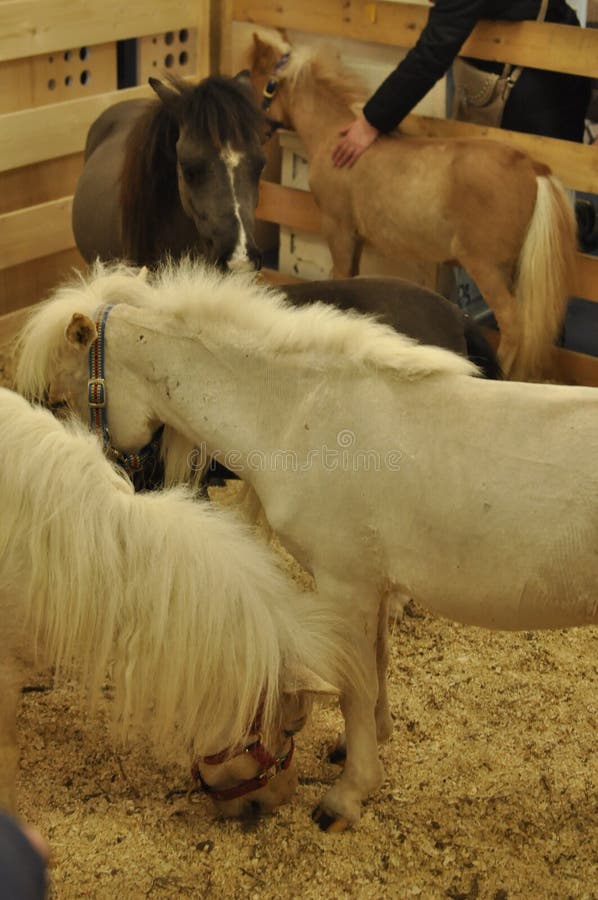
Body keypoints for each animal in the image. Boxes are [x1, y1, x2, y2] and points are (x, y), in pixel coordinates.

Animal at [247, 30, 578, 382]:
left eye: (250, 83)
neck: (334, 137)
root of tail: (532, 167)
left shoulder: (339, 230)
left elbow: (341, 274)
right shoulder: (356, 238)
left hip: (487, 267)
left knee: (514, 326)